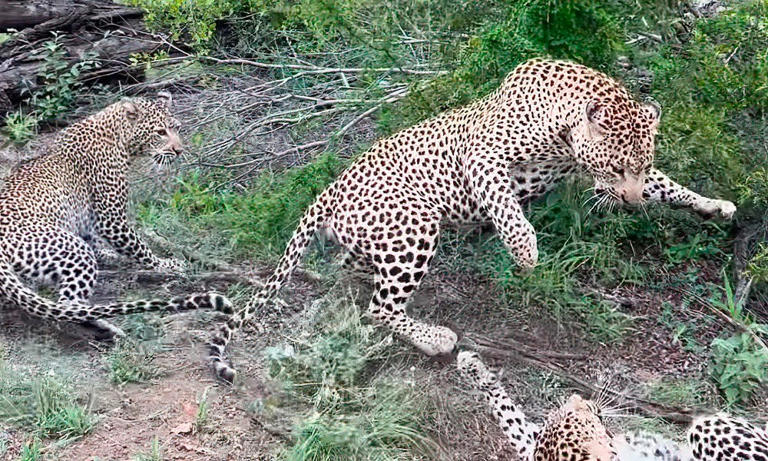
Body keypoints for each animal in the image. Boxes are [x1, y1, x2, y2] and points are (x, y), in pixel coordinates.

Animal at [0, 93, 232, 340]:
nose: (179, 150)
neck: (120, 138)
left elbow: (95, 238)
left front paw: (109, 255)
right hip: (73, 251)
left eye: (176, 128)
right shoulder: (111, 218)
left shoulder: (89, 219)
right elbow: (139, 246)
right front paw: (164, 264)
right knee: (68, 306)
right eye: (160, 132)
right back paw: (106, 325)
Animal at [207, 57, 736, 382]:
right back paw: (437, 339)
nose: (630, 202)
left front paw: (713, 205)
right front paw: (525, 251)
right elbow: (506, 207)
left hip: (382, 237)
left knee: (354, 272)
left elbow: (670, 186)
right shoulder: (480, 157)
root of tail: (329, 190)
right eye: (616, 167)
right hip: (415, 224)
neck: (565, 131)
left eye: (641, 167)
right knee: (380, 308)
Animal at [457, 350, 768, 461]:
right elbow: (511, 419)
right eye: (592, 424)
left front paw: (472, 366)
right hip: (709, 426)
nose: (580, 398)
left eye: (572, 410)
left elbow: (511, 416)